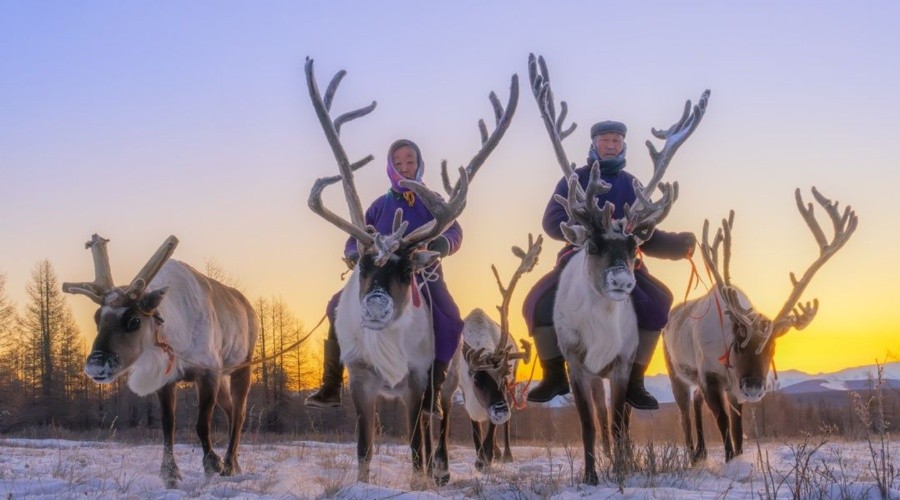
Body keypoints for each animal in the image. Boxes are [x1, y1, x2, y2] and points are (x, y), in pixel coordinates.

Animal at [62, 234, 258, 489]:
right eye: (97, 318)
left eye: (134, 320)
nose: (96, 365)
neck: (174, 334)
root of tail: (249, 307)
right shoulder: (168, 379)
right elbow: (168, 424)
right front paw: (170, 473)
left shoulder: (208, 372)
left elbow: (201, 423)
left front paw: (212, 463)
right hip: (224, 376)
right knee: (231, 410)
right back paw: (233, 462)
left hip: (242, 366)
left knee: (240, 413)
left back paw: (230, 463)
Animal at [304, 57, 518, 484]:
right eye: (364, 264)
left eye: (407, 270)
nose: (375, 307)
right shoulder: (361, 379)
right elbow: (364, 446)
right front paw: (362, 484)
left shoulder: (417, 380)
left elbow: (417, 440)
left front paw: (423, 476)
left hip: (446, 378)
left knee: (435, 420)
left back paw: (441, 468)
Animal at [451, 233, 541, 471]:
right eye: (478, 380)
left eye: (502, 377)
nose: (500, 410)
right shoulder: (467, 395)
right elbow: (476, 429)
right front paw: (479, 457)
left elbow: (491, 430)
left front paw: (487, 456)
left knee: (505, 426)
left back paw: (505, 453)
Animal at [663, 188, 858, 463]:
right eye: (739, 345)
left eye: (772, 348)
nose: (754, 387)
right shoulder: (709, 377)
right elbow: (723, 421)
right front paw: (730, 459)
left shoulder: (733, 385)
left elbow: (737, 426)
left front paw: (738, 455)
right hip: (675, 370)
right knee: (683, 411)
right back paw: (692, 453)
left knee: (696, 401)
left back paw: (701, 452)